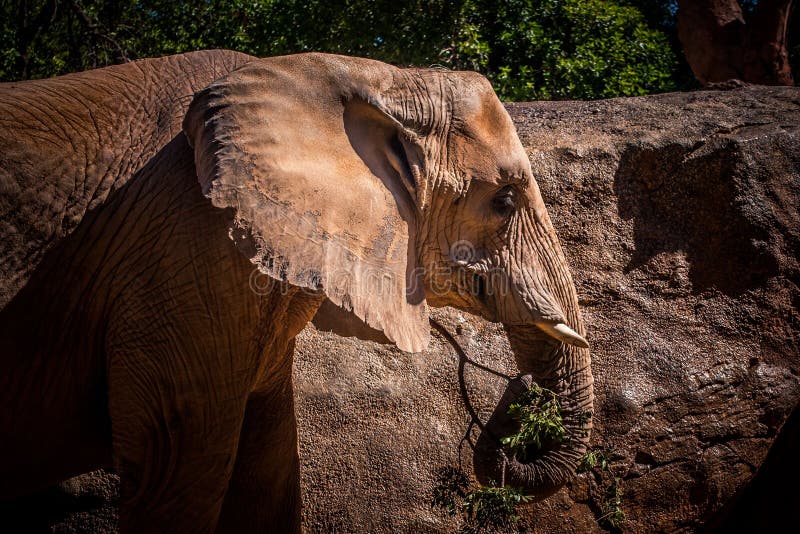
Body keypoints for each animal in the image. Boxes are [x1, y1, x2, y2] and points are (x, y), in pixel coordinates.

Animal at [0, 50, 593, 531]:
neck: (374, 76)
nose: (518, 388)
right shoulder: (184, 246)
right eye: (505, 200)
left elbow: (268, 468)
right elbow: (174, 468)